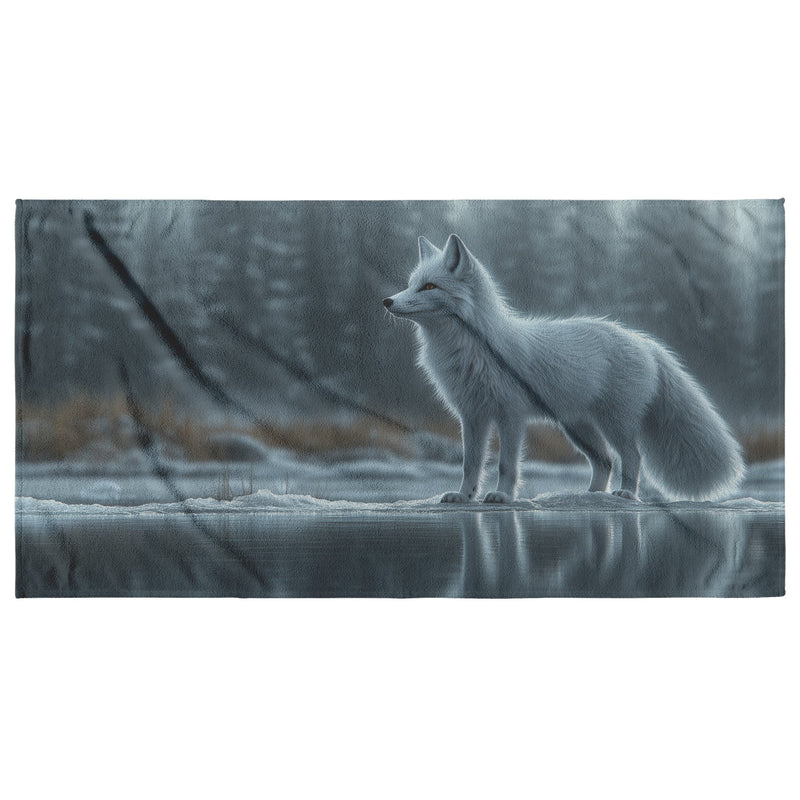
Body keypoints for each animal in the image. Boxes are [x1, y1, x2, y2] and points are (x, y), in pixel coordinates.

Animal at [382, 234, 744, 504]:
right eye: (411, 284)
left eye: (430, 287)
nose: (387, 301)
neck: (473, 348)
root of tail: (645, 342)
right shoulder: (472, 415)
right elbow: (470, 465)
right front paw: (464, 497)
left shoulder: (510, 415)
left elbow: (506, 465)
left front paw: (502, 497)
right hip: (577, 427)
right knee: (605, 461)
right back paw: (589, 497)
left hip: (615, 423)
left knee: (632, 458)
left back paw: (625, 495)